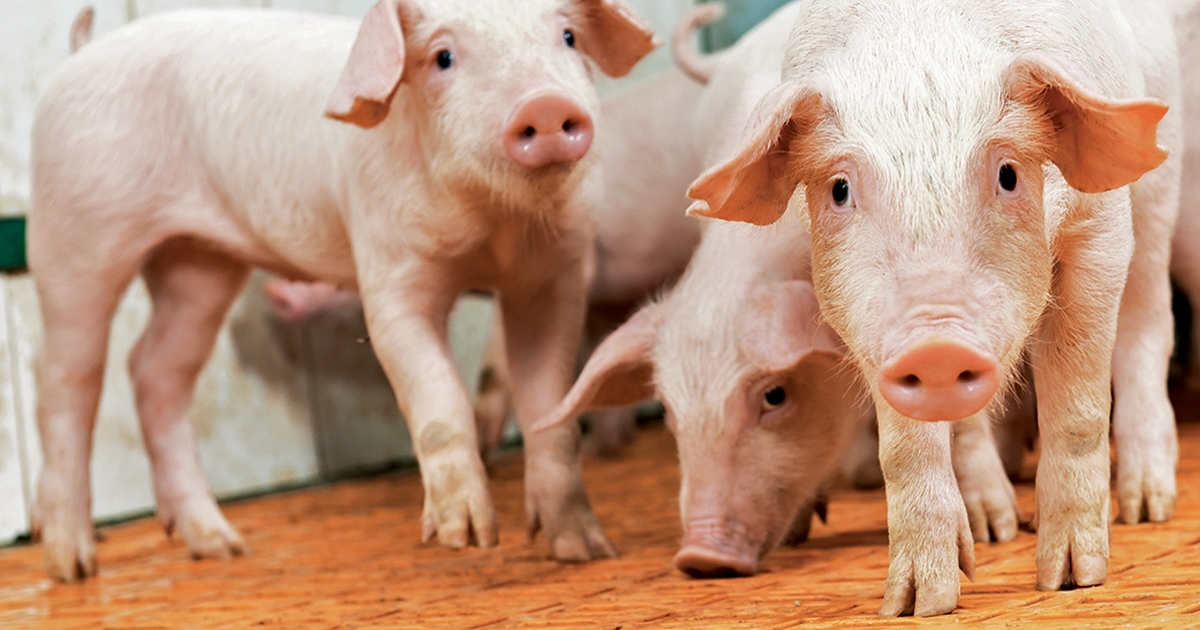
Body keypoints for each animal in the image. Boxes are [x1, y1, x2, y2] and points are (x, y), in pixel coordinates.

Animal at [27, 0, 656, 582]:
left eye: (568, 36)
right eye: (442, 56)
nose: (545, 106)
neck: (493, 229)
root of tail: (79, 55)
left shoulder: (554, 276)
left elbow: (550, 406)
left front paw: (584, 550)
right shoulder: (389, 267)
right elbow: (437, 393)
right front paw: (464, 538)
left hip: (198, 264)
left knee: (155, 369)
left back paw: (222, 546)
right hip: (74, 232)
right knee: (66, 382)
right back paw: (71, 566)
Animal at [687, 0, 1179, 616]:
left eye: (1009, 174)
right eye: (839, 188)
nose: (936, 344)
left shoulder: (1100, 225)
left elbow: (1078, 407)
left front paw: (1072, 580)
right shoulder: (859, 310)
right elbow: (903, 447)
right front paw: (918, 604)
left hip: (1159, 190)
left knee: (1148, 324)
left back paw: (1147, 507)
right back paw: (996, 525)